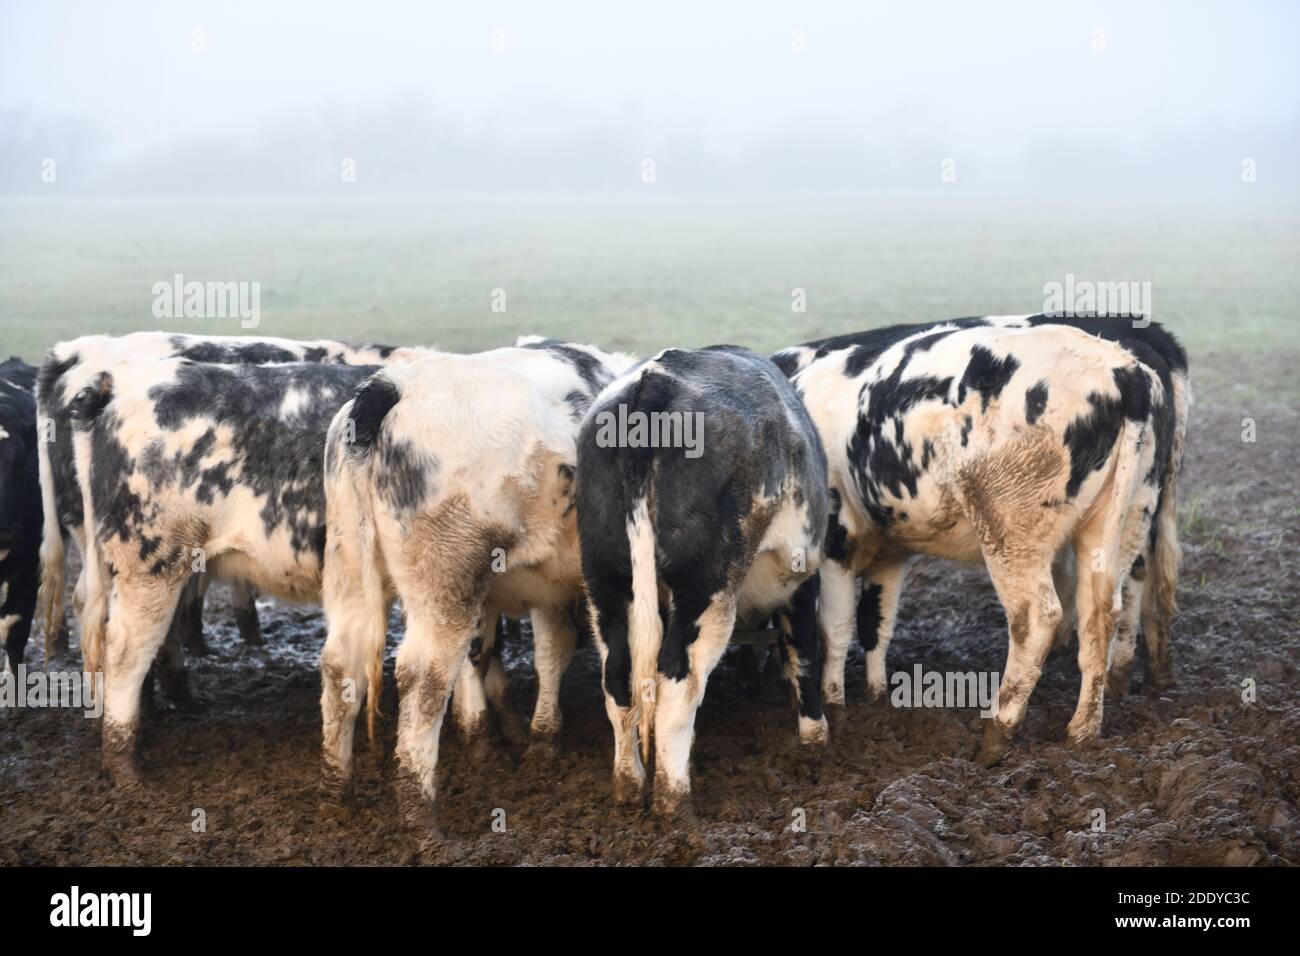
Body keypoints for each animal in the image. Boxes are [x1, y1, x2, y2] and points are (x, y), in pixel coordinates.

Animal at [317, 343, 634, 832]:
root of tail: (391, 385)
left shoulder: (553, 586)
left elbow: (552, 651)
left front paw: (543, 741)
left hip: (348, 566)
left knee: (340, 666)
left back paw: (336, 798)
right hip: (447, 584)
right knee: (422, 678)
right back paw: (423, 820)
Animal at [576, 346, 829, 817]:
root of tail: (656, 381)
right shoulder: (802, 577)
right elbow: (803, 653)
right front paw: (815, 739)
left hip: (605, 583)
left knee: (618, 681)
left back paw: (629, 786)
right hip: (705, 589)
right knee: (678, 685)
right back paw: (674, 800)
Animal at [789, 323, 1174, 765]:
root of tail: (1125, 373)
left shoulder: (836, 541)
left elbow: (834, 628)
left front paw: (835, 704)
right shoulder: (891, 552)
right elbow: (876, 624)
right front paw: (875, 697)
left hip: (1010, 529)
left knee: (1036, 619)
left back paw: (999, 731)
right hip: (1126, 519)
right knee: (1100, 615)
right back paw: (1082, 730)